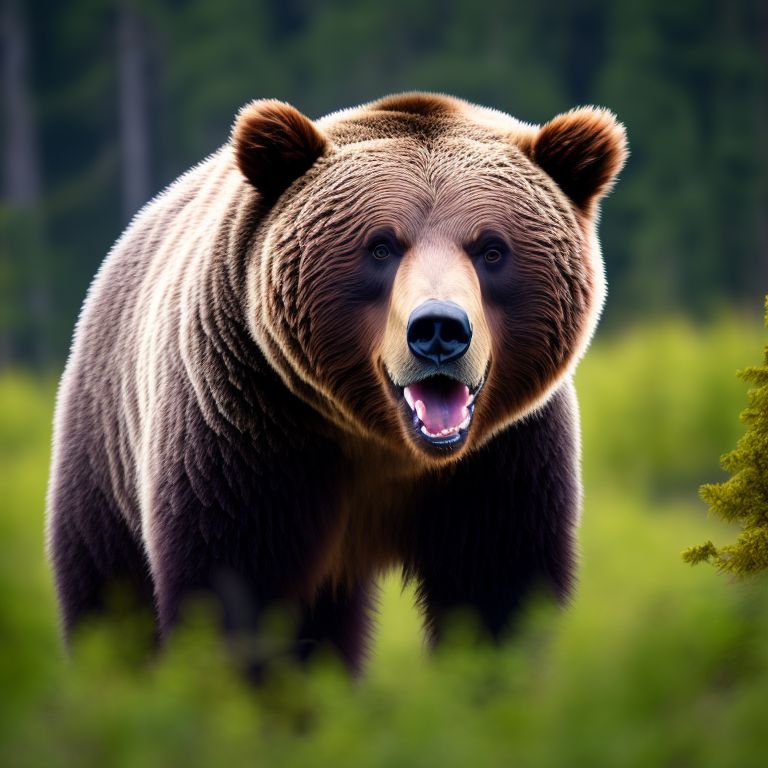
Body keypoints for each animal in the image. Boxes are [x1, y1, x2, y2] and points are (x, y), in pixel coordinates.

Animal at [46, 92, 626, 674]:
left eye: (491, 249)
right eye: (381, 247)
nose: (439, 330)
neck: (383, 446)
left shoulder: (503, 461)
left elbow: (499, 594)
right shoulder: (247, 435)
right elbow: (233, 596)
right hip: (106, 456)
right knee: (110, 602)